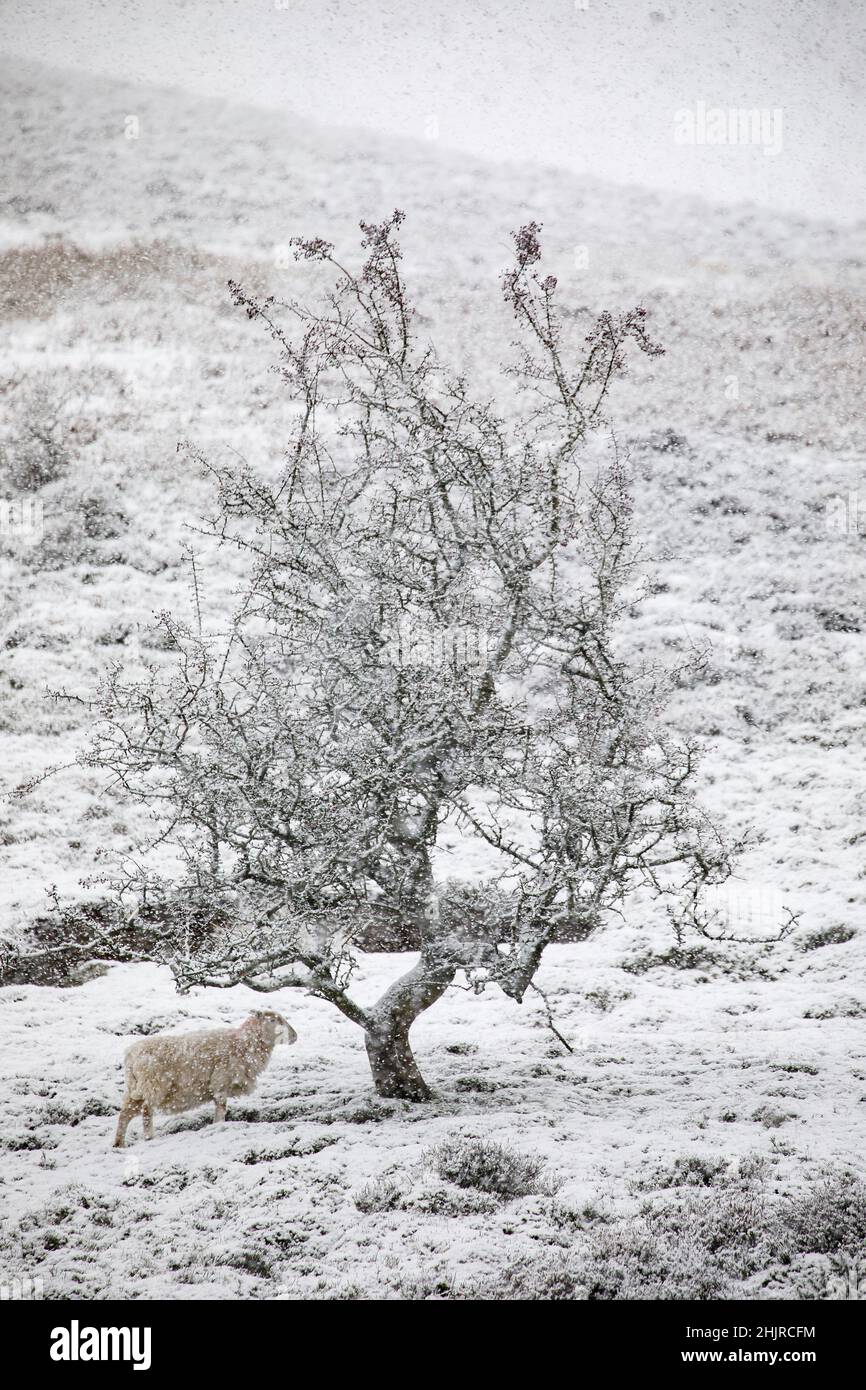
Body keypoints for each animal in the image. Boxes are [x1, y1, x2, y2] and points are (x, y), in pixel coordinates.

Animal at [113, 1009, 296, 1147]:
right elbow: (221, 1108)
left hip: (134, 1088)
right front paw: (219, 1125)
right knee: (146, 1110)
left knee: (125, 1114)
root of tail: (130, 1055)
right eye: (272, 1020)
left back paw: (119, 1144)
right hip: (154, 1084)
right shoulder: (220, 1082)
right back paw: (149, 1137)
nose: (295, 1036)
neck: (243, 1043)